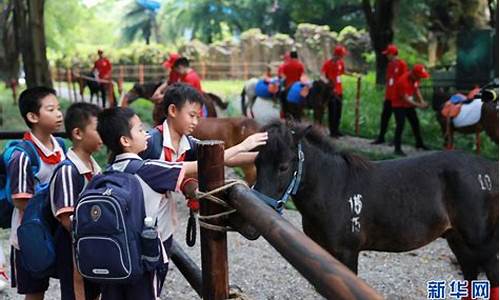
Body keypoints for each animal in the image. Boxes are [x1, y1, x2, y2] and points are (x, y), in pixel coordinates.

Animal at [256, 120, 498, 292]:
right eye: (256, 161)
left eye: (283, 166)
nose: (259, 206)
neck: (335, 187)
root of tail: (489, 170)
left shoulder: (347, 253)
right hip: (456, 238)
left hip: (479, 241)